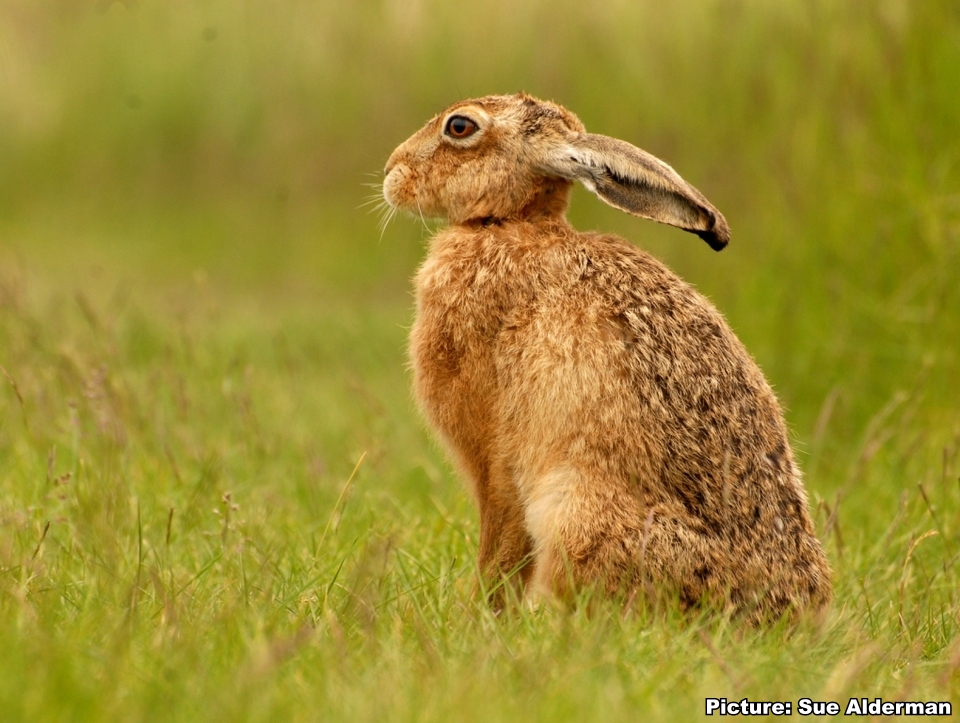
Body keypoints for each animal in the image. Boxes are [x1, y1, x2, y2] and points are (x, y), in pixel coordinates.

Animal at [382, 92, 831, 622]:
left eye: (459, 127)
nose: (391, 172)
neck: (512, 225)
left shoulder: (495, 457)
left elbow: (500, 544)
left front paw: (482, 616)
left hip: (578, 514)